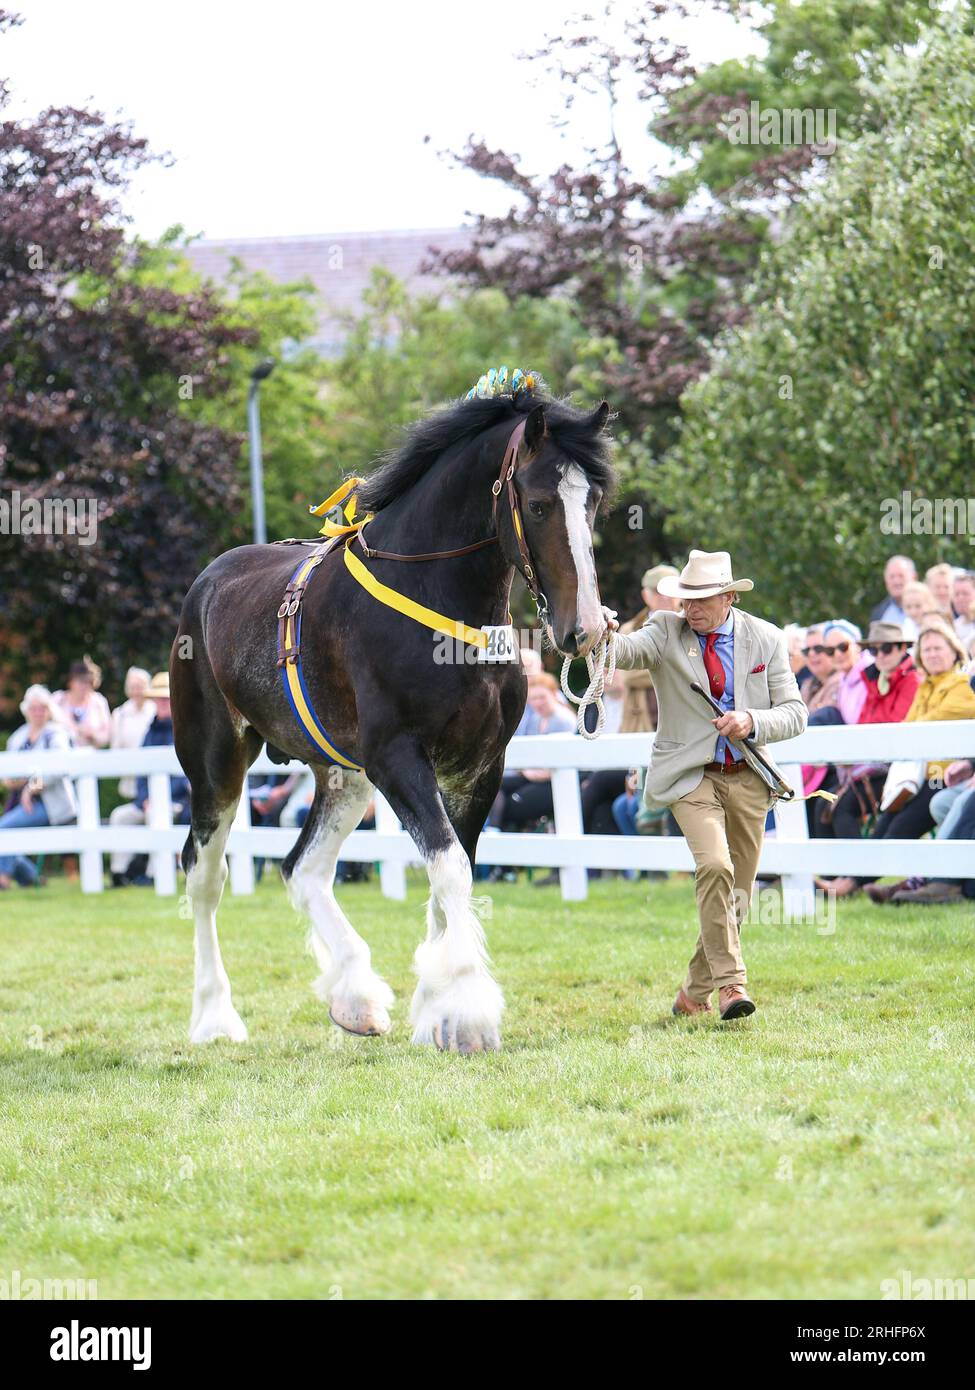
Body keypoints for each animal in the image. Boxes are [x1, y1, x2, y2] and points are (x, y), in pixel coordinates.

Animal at [170, 382, 615, 1052]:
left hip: (343, 776)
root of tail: (207, 582)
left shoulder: (477, 767)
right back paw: (215, 1017)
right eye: (538, 505)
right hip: (216, 767)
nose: (583, 629)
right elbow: (451, 868)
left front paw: (437, 1012)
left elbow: (451, 872)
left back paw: (354, 998)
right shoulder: (399, 758)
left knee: (303, 868)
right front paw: (468, 1013)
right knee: (205, 877)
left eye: (594, 503)